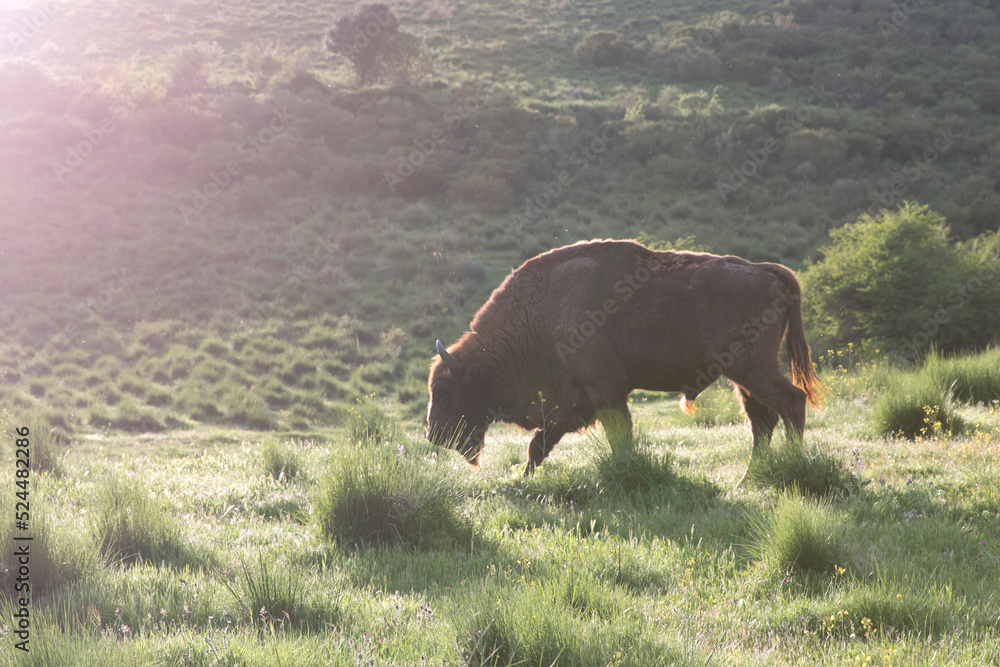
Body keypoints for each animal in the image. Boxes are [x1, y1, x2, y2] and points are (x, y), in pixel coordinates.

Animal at [427, 239, 822, 476]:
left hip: (751, 368)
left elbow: (618, 437)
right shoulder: (576, 402)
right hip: (743, 376)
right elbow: (538, 445)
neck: (541, 315)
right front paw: (523, 479)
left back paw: (792, 465)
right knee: (762, 419)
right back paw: (748, 479)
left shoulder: (605, 391)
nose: (434, 435)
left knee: (791, 401)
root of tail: (769, 271)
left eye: (445, 391)